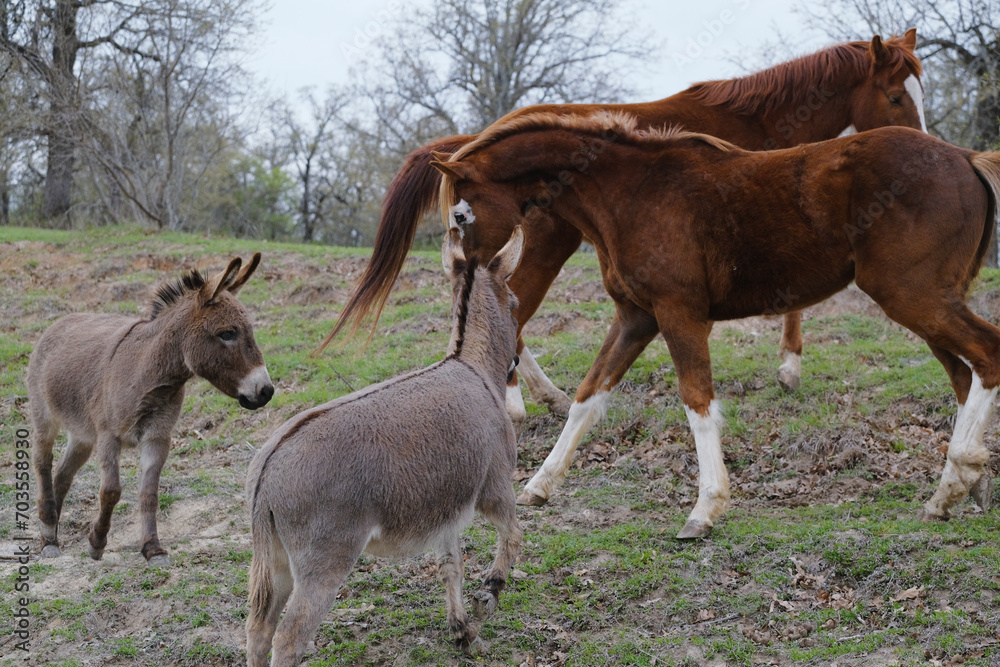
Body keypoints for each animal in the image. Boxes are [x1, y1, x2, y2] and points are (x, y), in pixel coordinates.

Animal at [28, 254, 274, 566]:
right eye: (227, 334)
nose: (266, 391)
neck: (151, 377)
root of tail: (59, 323)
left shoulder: (157, 438)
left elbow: (149, 494)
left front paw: (153, 549)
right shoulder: (109, 436)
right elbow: (111, 491)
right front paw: (96, 543)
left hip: (82, 435)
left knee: (62, 475)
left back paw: (50, 539)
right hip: (44, 417)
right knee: (42, 462)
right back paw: (48, 528)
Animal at [245, 228, 525, 665]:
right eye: (515, 304)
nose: (516, 362)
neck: (472, 367)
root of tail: (268, 469)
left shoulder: (446, 510)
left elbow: (451, 566)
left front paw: (463, 631)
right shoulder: (496, 489)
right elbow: (513, 536)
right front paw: (489, 598)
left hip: (276, 561)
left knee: (258, 631)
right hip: (324, 566)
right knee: (289, 636)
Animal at [322, 30, 925, 422]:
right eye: (896, 96)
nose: (926, 145)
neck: (753, 123)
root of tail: (478, 140)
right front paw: (790, 369)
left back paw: (548, 396)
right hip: (540, 247)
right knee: (512, 307)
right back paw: (516, 400)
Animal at [428, 110, 1000, 539]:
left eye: (460, 214)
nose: (469, 282)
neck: (629, 193)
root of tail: (966, 158)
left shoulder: (679, 314)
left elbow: (697, 402)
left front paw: (706, 508)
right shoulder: (635, 318)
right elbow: (588, 397)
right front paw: (540, 485)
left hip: (914, 296)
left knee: (986, 357)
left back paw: (957, 479)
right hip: (925, 300)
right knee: (965, 374)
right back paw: (960, 487)